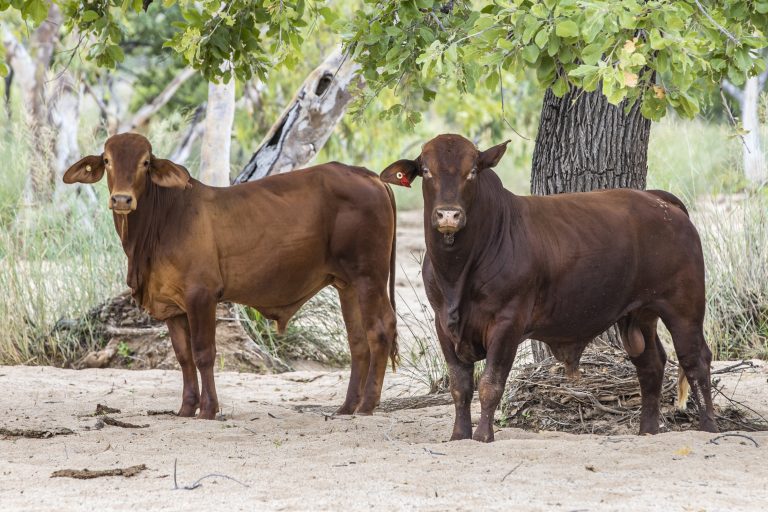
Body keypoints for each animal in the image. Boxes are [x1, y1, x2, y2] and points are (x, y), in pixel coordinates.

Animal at [63, 133, 398, 419]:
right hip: (347, 284)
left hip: (369, 277)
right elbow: (183, 357)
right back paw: (347, 406)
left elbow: (203, 354)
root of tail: (369, 176)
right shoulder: (172, 307)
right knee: (357, 341)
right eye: (107, 160)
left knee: (380, 331)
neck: (161, 222)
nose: (122, 200)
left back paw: (367, 405)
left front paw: (208, 410)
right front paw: (186, 409)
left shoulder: (202, 295)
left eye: (145, 162)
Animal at [381, 133, 717, 443]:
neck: (457, 273)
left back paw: (709, 428)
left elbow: (490, 384)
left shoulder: (508, 321)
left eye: (472, 170)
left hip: (684, 306)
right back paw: (647, 431)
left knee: (695, 359)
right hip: (639, 313)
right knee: (651, 365)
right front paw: (458, 436)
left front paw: (483, 436)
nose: (448, 215)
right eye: (426, 170)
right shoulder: (443, 324)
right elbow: (460, 387)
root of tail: (659, 200)